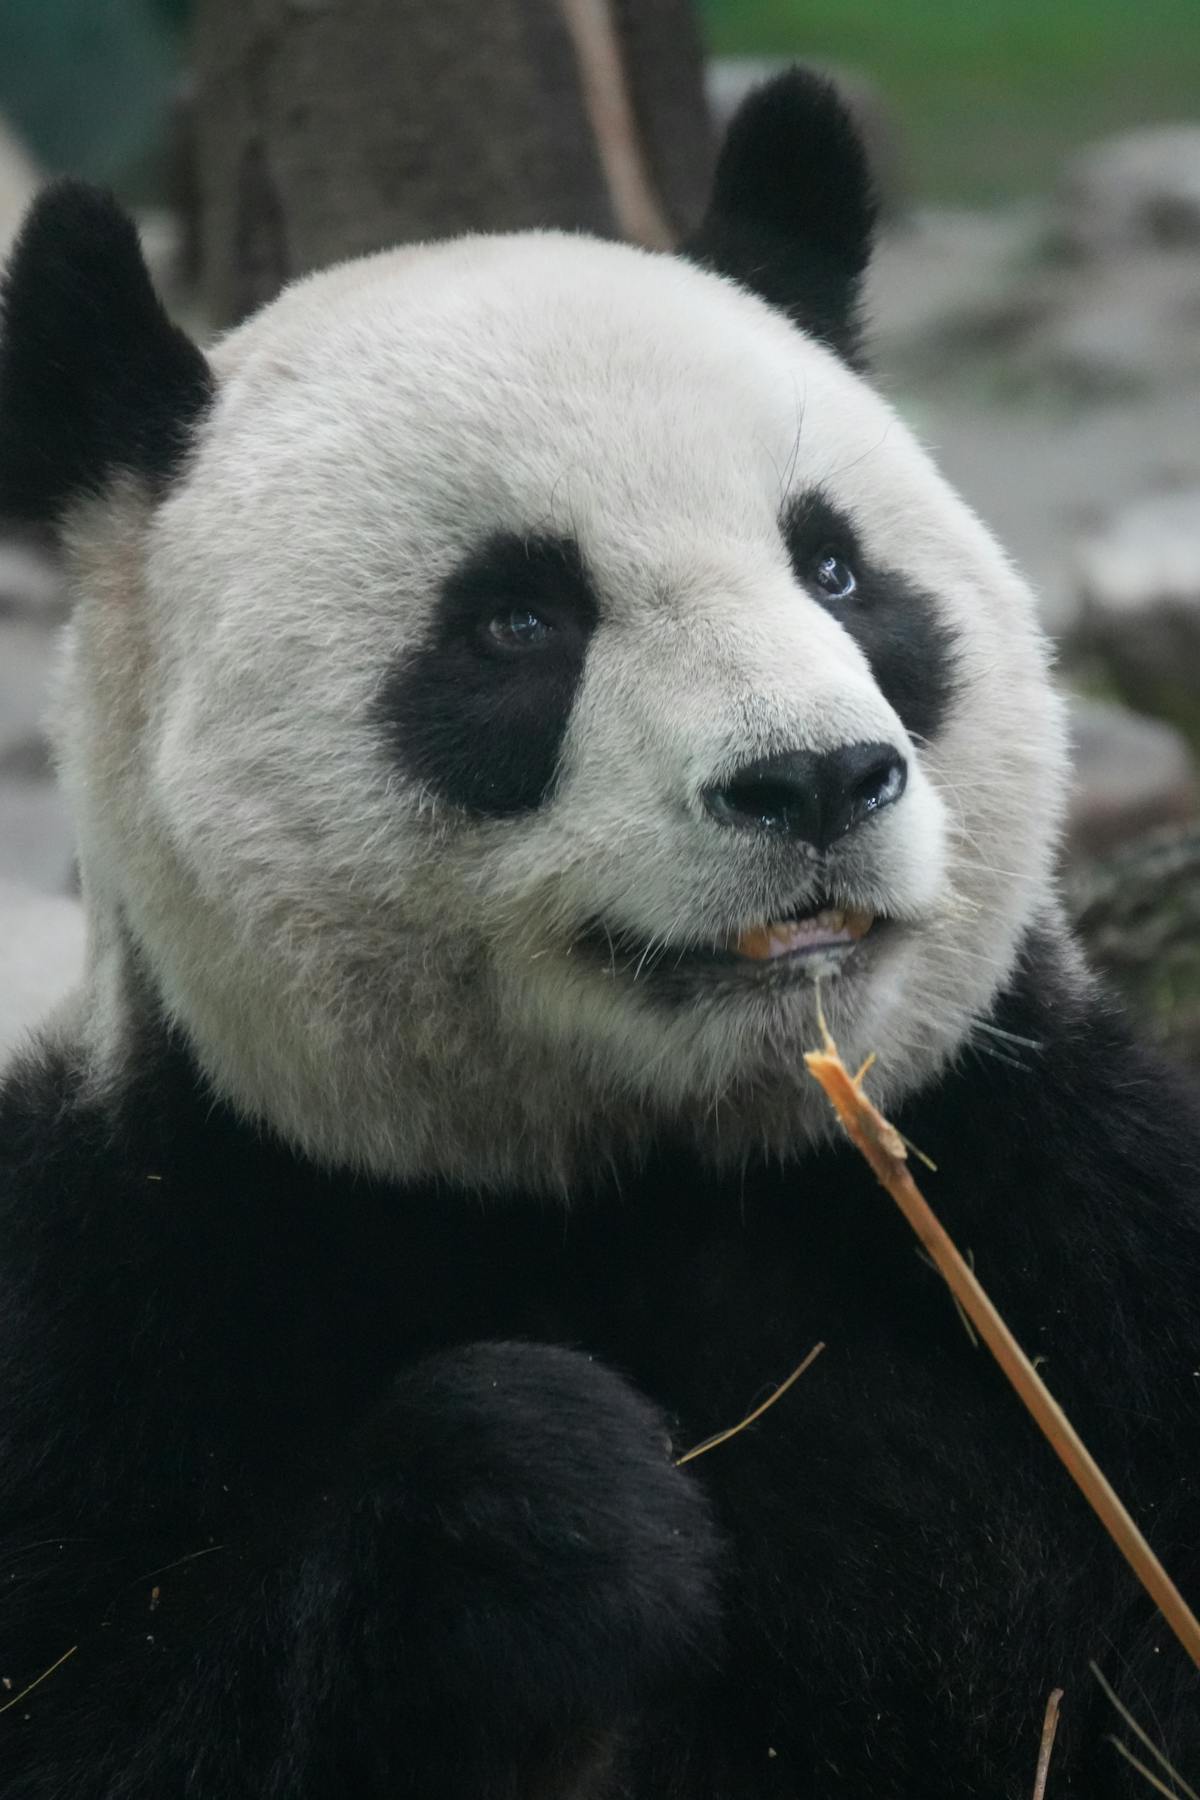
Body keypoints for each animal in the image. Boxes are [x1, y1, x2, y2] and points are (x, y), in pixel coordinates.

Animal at [0, 68, 1197, 1799]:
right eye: (518, 620)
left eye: (836, 569)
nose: (813, 779)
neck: (641, 1175)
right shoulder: (129, 1286)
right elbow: (94, 1695)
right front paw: (551, 1509)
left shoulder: (1062, 1205)